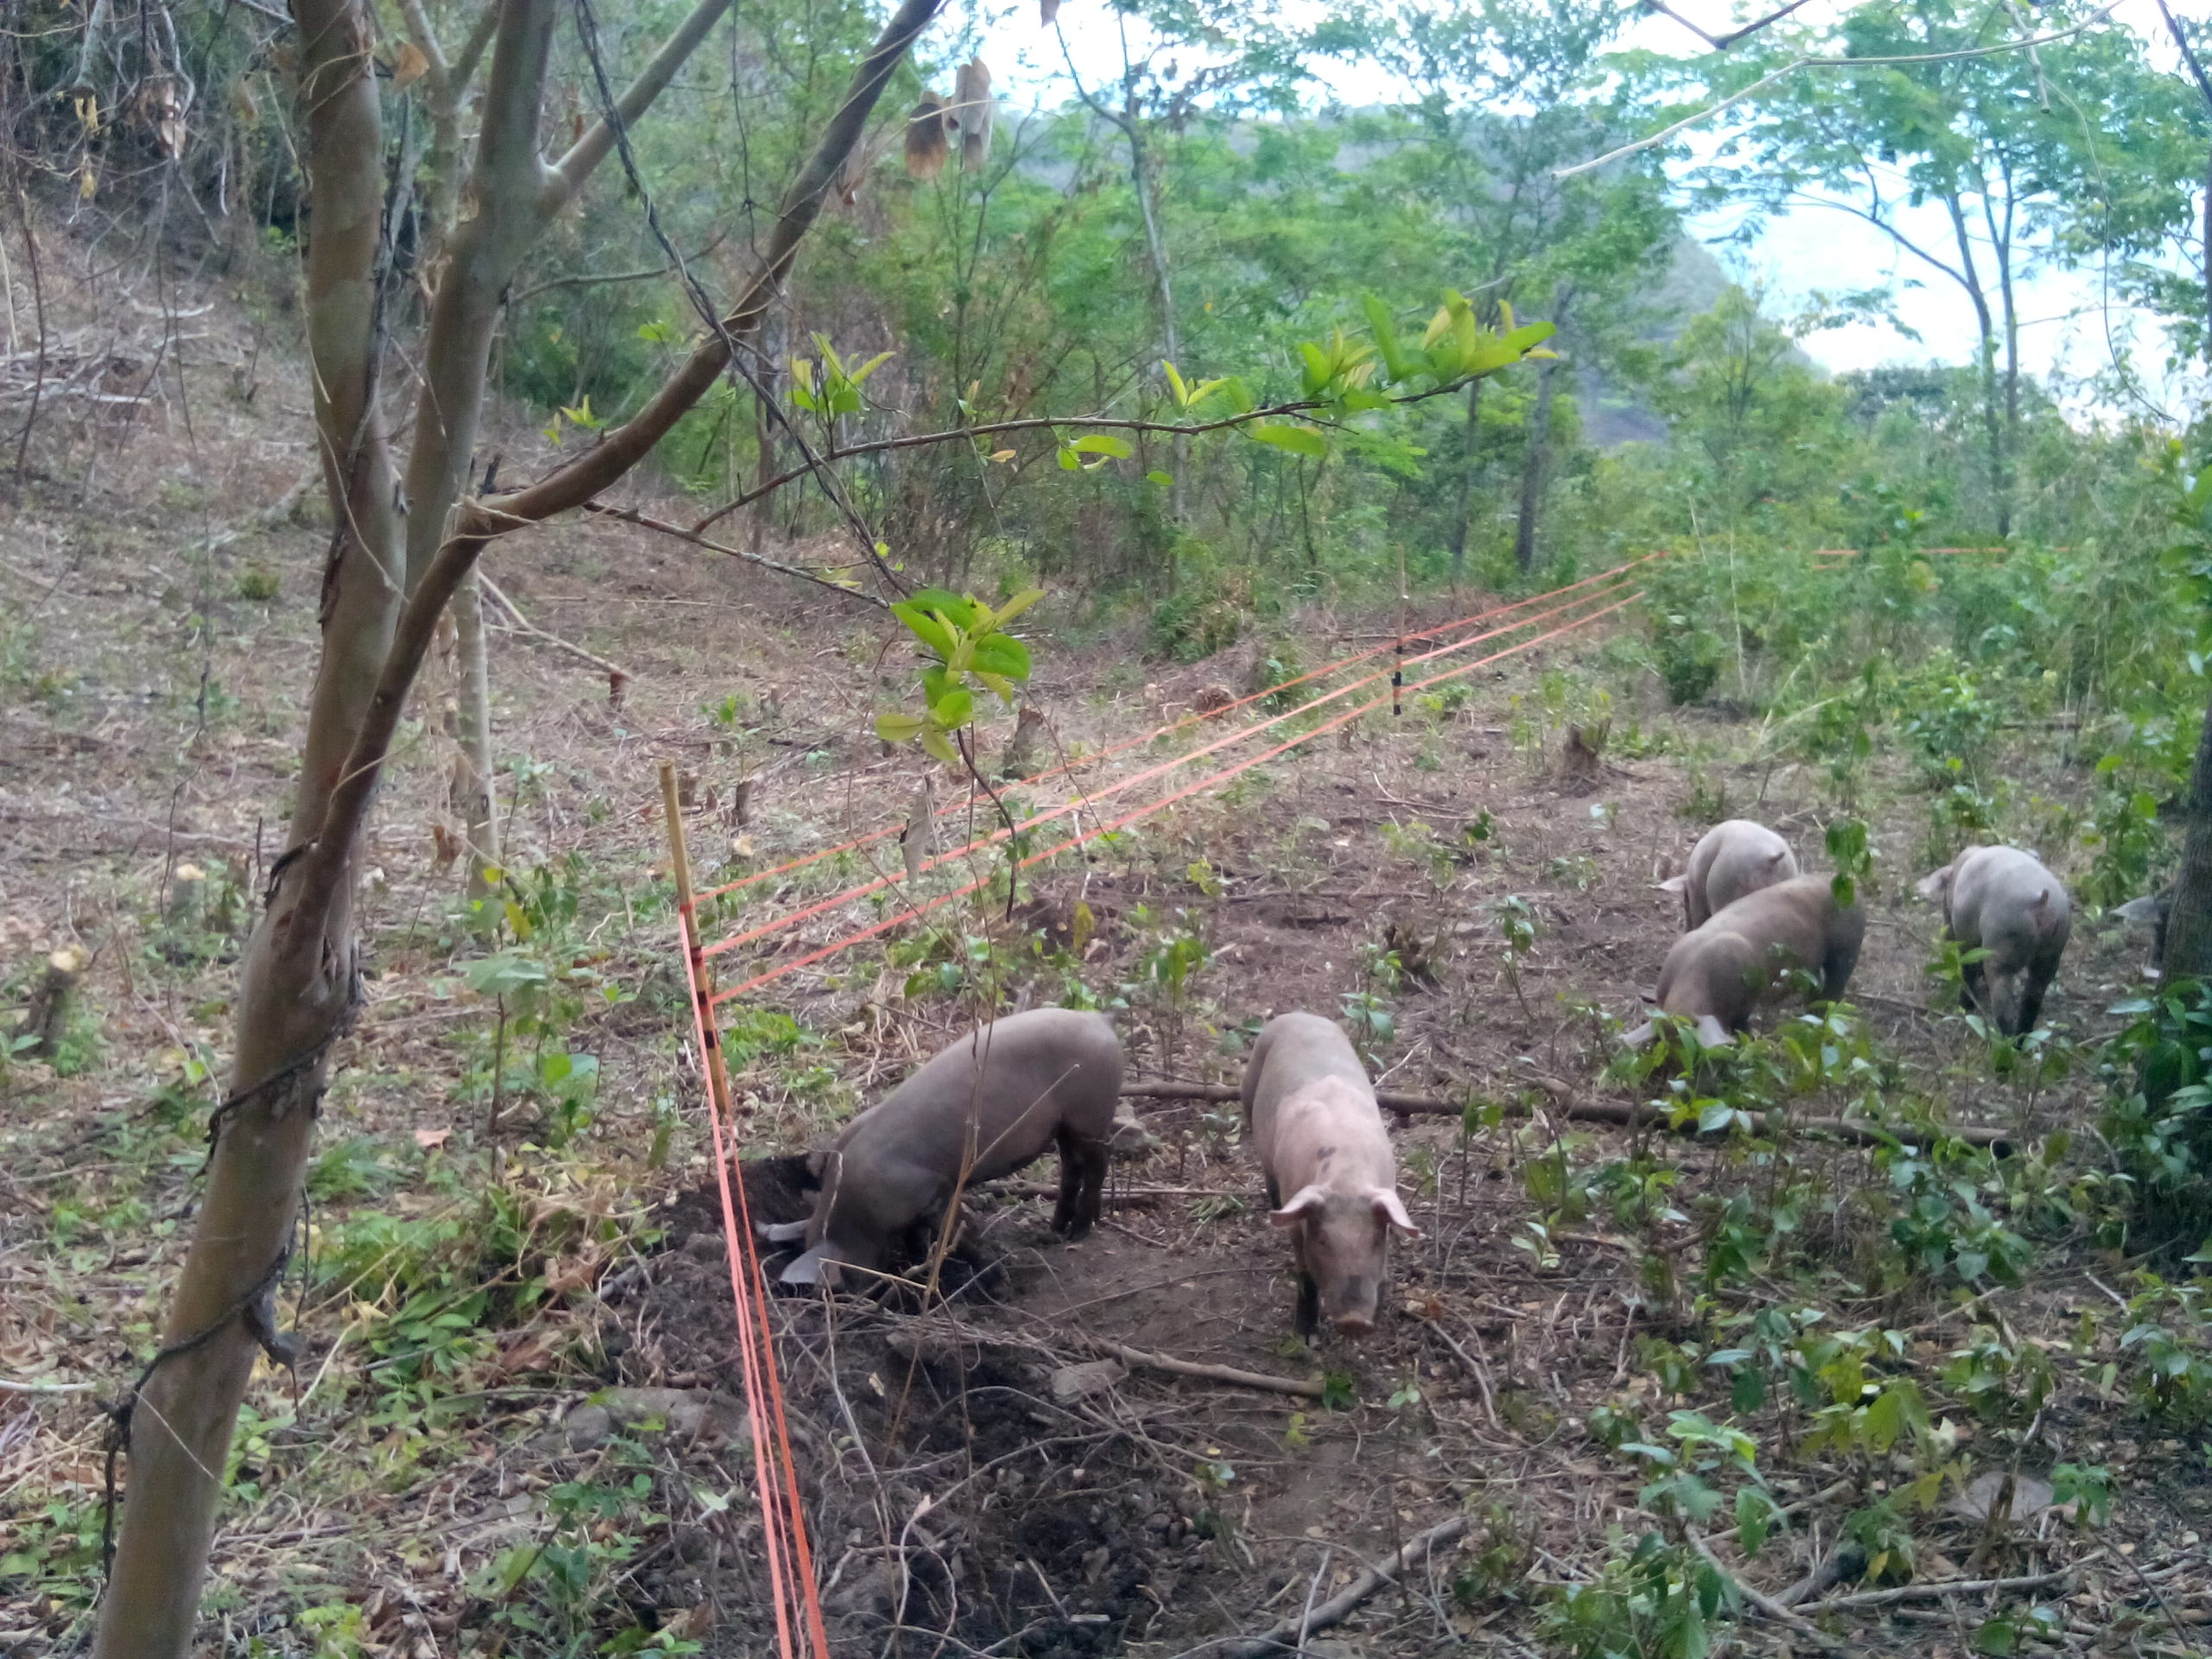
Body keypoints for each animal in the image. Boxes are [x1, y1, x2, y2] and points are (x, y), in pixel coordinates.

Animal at [779, 1009, 1122, 1288]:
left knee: (1098, 1163)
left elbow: (959, 1237)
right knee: (1072, 1166)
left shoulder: (934, 1194)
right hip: (1065, 1126)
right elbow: (917, 1241)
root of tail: (1099, 1019)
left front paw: (1000, 1285)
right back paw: (1055, 1230)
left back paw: (1079, 1233)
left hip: (1091, 1113)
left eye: (837, 1287)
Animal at [1240, 1012, 1420, 1339]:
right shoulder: (1297, 1216)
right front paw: (1305, 1335)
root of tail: (1297, 1014)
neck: (1347, 1178)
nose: (1354, 1321)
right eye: (1323, 1240)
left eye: (1376, 1240)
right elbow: (1306, 1274)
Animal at [1624, 873, 1866, 1050]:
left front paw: (1748, 1042)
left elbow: (1742, 1026)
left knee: (1835, 986)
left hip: (1848, 947)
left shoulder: (1748, 994)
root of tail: (1851, 887)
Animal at [1916, 847, 2072, 1035]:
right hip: (2051, 955)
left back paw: (2003, 1037)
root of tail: (2042, 902)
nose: (1946, 935)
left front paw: (1965, 1006)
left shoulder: (1967, 935)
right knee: (2032, 999)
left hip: (2002, 951)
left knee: (2003, 1005)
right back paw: (2022, 1037)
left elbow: (1968, 968)